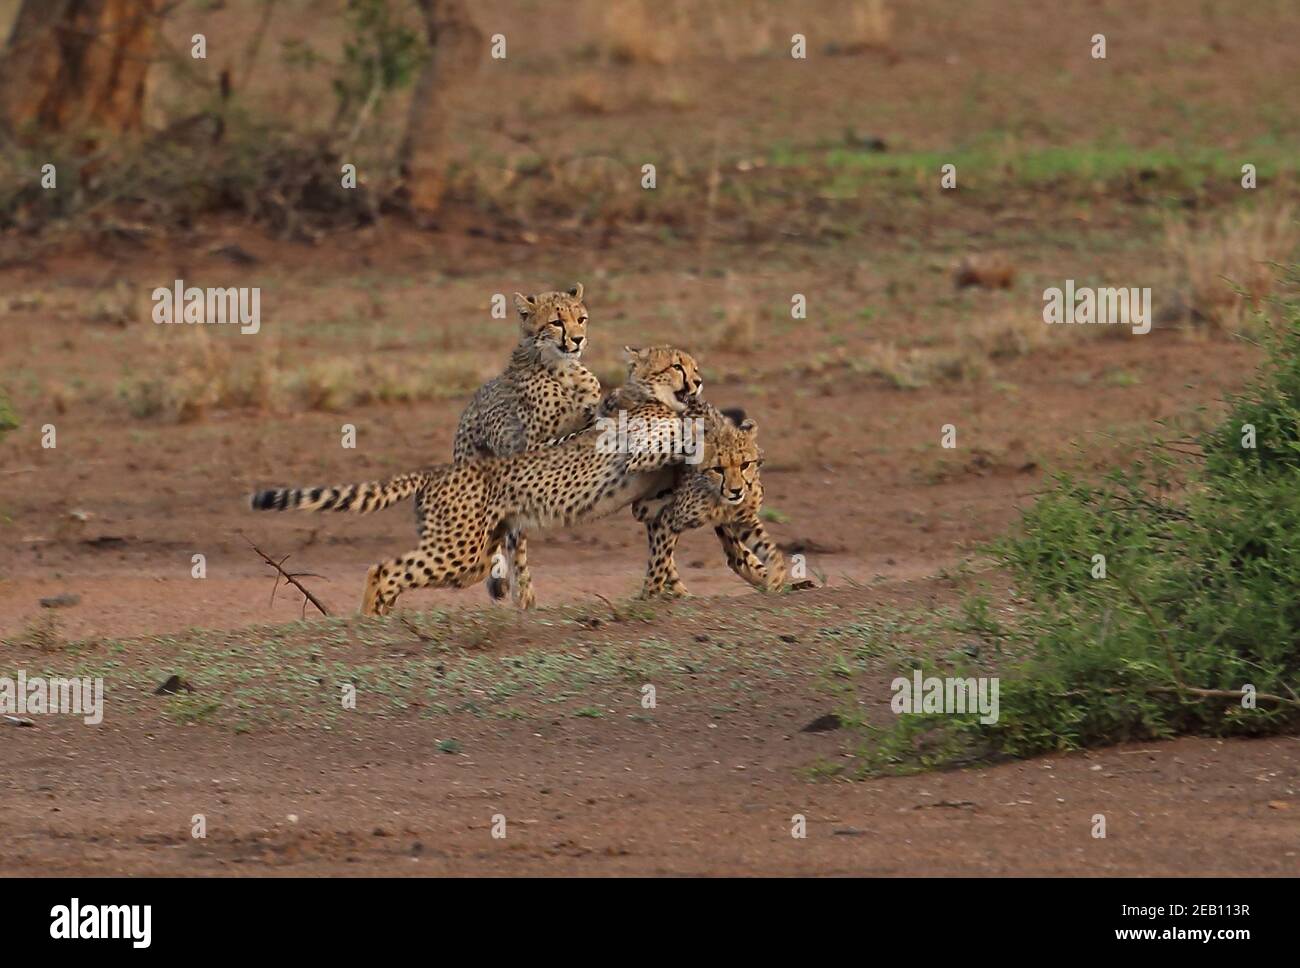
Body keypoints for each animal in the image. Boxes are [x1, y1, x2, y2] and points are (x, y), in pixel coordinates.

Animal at [250, 346, 707, 617]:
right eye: (677, 365)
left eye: (694, 365)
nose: (699, 380)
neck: (650, 396)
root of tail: (438, 470)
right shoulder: (643, 451)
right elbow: (683, 434)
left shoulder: (651, 500)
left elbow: (661, 544)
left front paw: (674, 592)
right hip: (459, 549)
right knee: (383, 568)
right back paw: (370, 620)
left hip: (472, 556)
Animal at [452, 284, 601, 610]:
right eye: (556, 322)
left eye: (581, 319)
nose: (578, 339)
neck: (561, 368)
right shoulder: (534, 448)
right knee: (502, 542)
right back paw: (514, 589)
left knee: (509, 539)